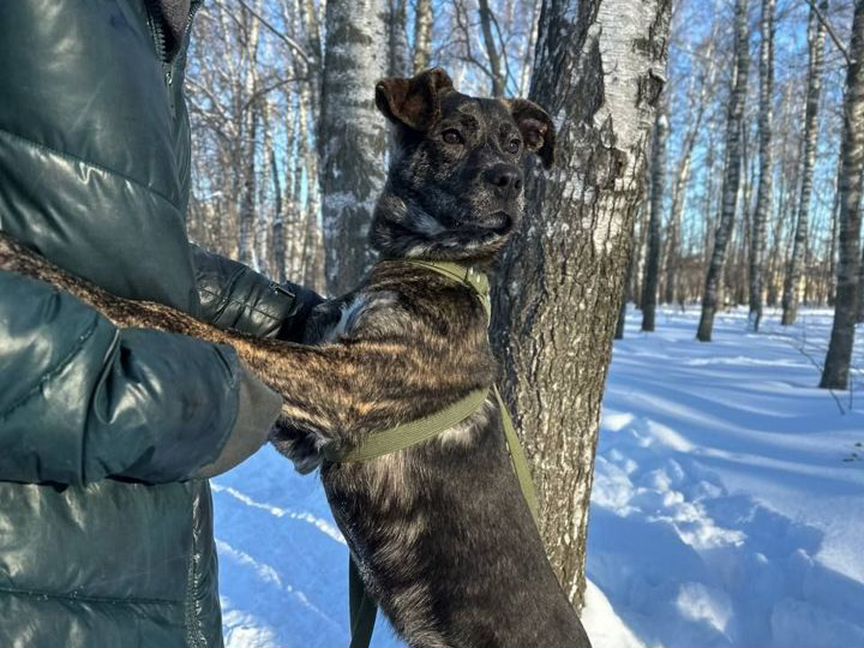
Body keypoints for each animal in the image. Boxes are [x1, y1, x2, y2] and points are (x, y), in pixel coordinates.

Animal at [0, 68, 592, 644]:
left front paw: (47, 271)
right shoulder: (306, 430)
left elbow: (181, 321)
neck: (432, 263)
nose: (510, 181)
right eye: (451, 136)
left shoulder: (342, 386)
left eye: (514, 146)